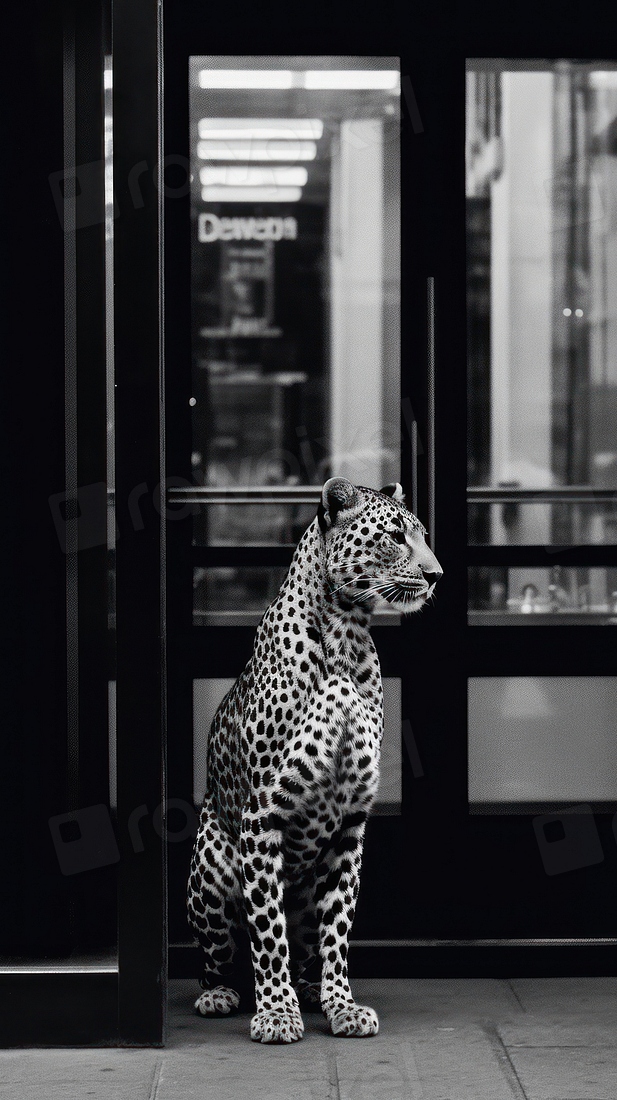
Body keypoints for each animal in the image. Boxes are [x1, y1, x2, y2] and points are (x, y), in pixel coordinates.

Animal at [187, 477, 442, 1043]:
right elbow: (268, 930)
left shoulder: (350, 822)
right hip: (211, 864)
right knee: (218, 957)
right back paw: (224, 994)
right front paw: (277, 1014)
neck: (347, 633)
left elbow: (336, 930)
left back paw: (310, 991)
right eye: (395, 536)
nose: (437, 574)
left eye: (422, 535)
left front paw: (341, 1005)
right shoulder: (263, 816)